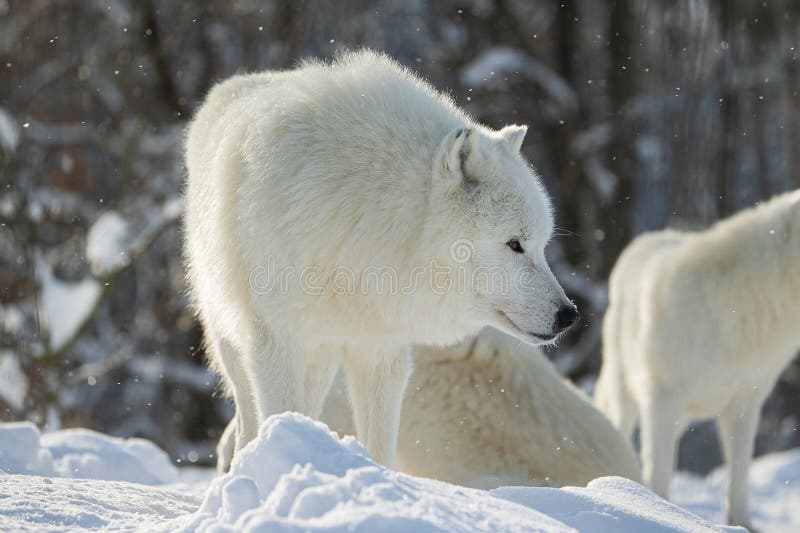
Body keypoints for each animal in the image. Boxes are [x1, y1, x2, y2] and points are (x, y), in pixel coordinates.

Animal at [595, 188, 800, 528]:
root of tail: (646, 240)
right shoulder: (663, 398)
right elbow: (659, 472)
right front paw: (657, 513)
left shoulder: (744, 404)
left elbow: (738, 477)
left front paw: (742, 525)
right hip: (629, 396)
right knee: (621, 432)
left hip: (681, 417)